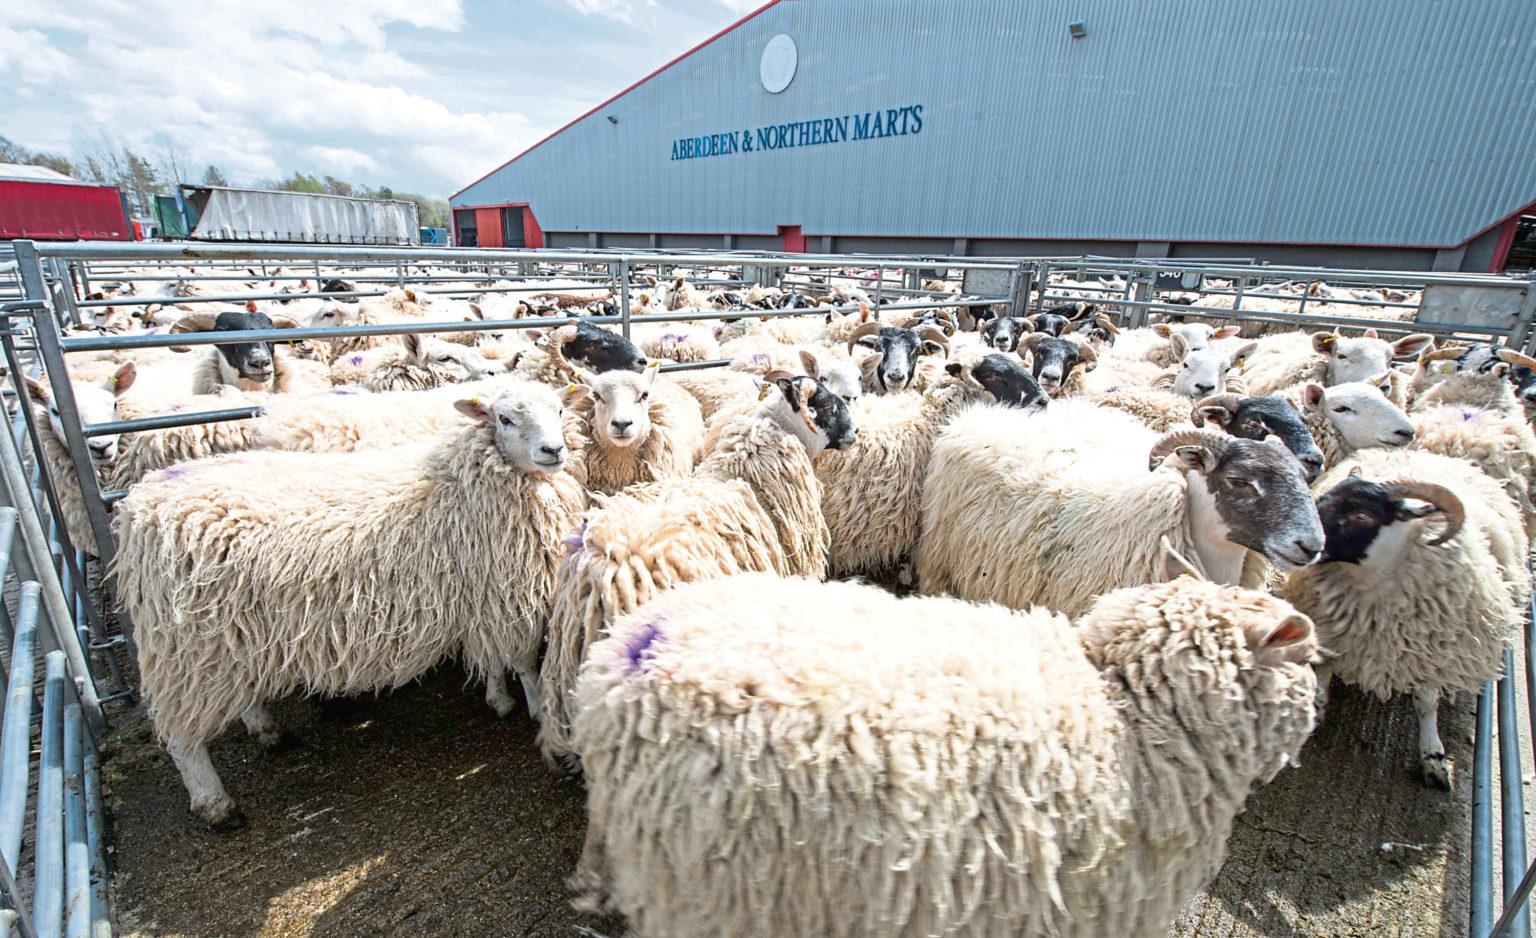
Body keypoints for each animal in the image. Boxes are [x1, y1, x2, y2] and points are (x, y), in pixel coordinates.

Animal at [113, 380, 590, 827]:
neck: (466, 482)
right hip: (185, 645)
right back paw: (215, 805)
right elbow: (524, 662)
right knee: (182, 738)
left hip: (226, 636)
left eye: (559, 410)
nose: (553, 450)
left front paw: (498, 699)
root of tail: (140, 507)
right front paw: (533, 710)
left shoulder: (483, 595)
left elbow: (491, 657)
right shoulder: (509, 592)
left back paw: (266, 730)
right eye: (505, 419)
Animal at [1279, 449, 1529, 789]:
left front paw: (1434, 758)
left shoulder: (1431, 656)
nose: (1302, 541)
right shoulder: (1331, 633)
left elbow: (1426, 703)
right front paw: (1315, 714)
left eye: (1363, 516)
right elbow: (1322, 679)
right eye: (1323, 497)